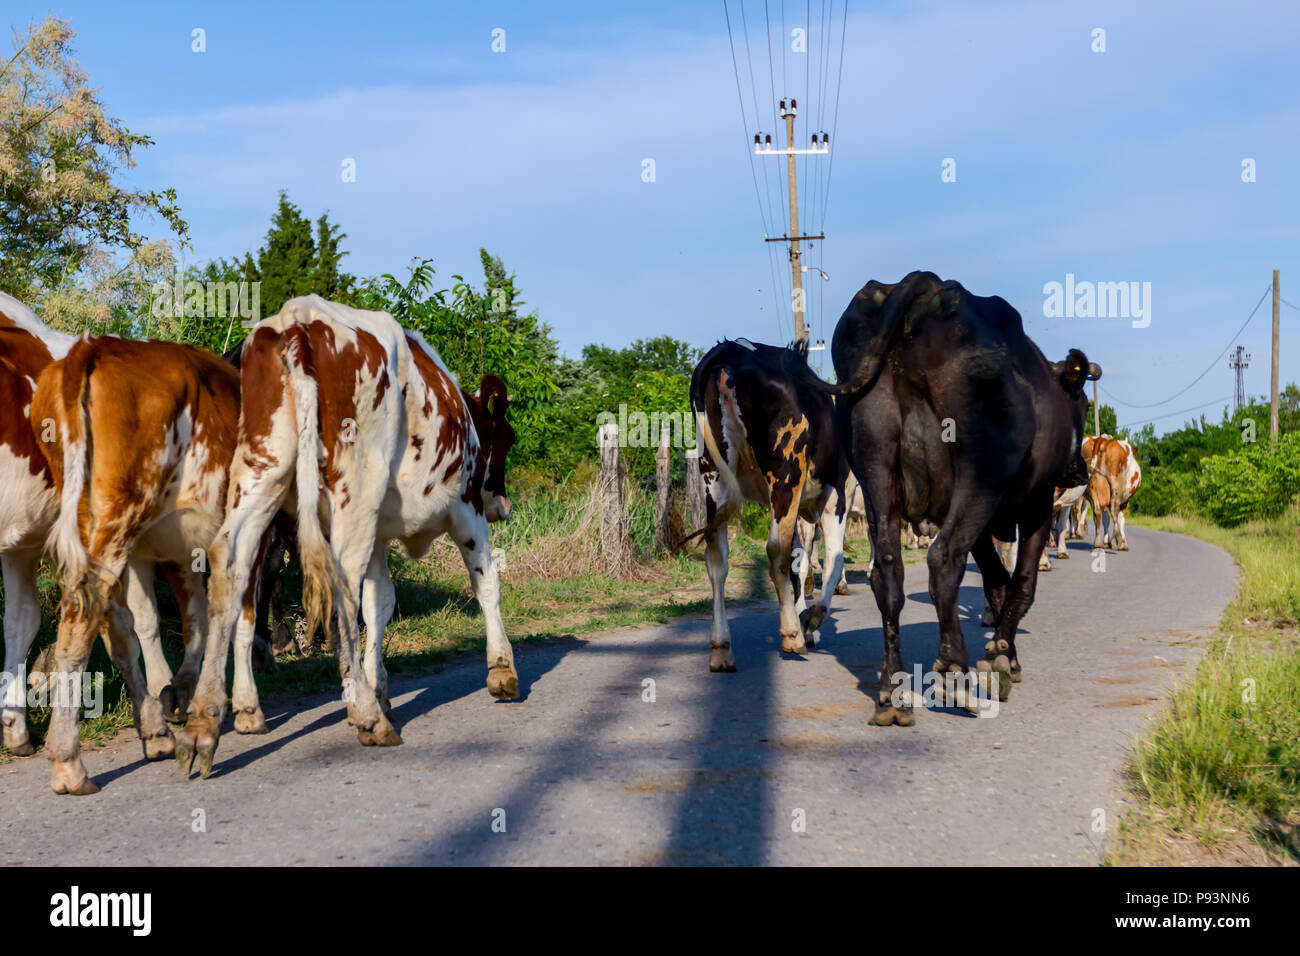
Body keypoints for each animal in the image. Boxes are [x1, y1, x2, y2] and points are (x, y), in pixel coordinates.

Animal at [31, 336, 243, 793]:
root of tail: (94, 346)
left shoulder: (170, 548)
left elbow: (189, 615)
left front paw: (180, 692)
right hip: (121, 512)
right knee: (83, 615)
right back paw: (69, 762)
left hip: (95, 521)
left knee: (110, 621)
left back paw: (154, 732)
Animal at [173, 295, 517, 778]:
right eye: (506, 438)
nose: (503, 505)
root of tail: (298, 320)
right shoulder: (466, 508)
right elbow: (486, 584)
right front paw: (501, 671)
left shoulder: (379, 533)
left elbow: (380, 604)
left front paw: (380, 687)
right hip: (351, 496)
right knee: (338, 587)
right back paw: (364, 716)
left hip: (262, 474)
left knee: (232, 566)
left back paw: (207, 723)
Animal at [686, 338, 848, 673]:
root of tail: (734, 349)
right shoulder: (835, 493)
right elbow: (832, 559)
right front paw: (810, 620)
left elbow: (800, 563)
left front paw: (804, 620)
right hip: (786, 473)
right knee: (775, 549)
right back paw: (791, 634)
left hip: (712, 475)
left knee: (717, 559)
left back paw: (721, 648)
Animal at [805, 271, 1099, 724]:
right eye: (1081, 403)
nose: (1079, 470)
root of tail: (924, 284)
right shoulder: (1034, 505)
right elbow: (1021, 582)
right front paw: (1002, 658)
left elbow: (996, 581)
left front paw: (1002, 650)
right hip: (981, 474)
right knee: (943, 559)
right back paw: (953, 674)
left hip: (876, 469)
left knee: (888, 572)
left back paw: (893, 691)